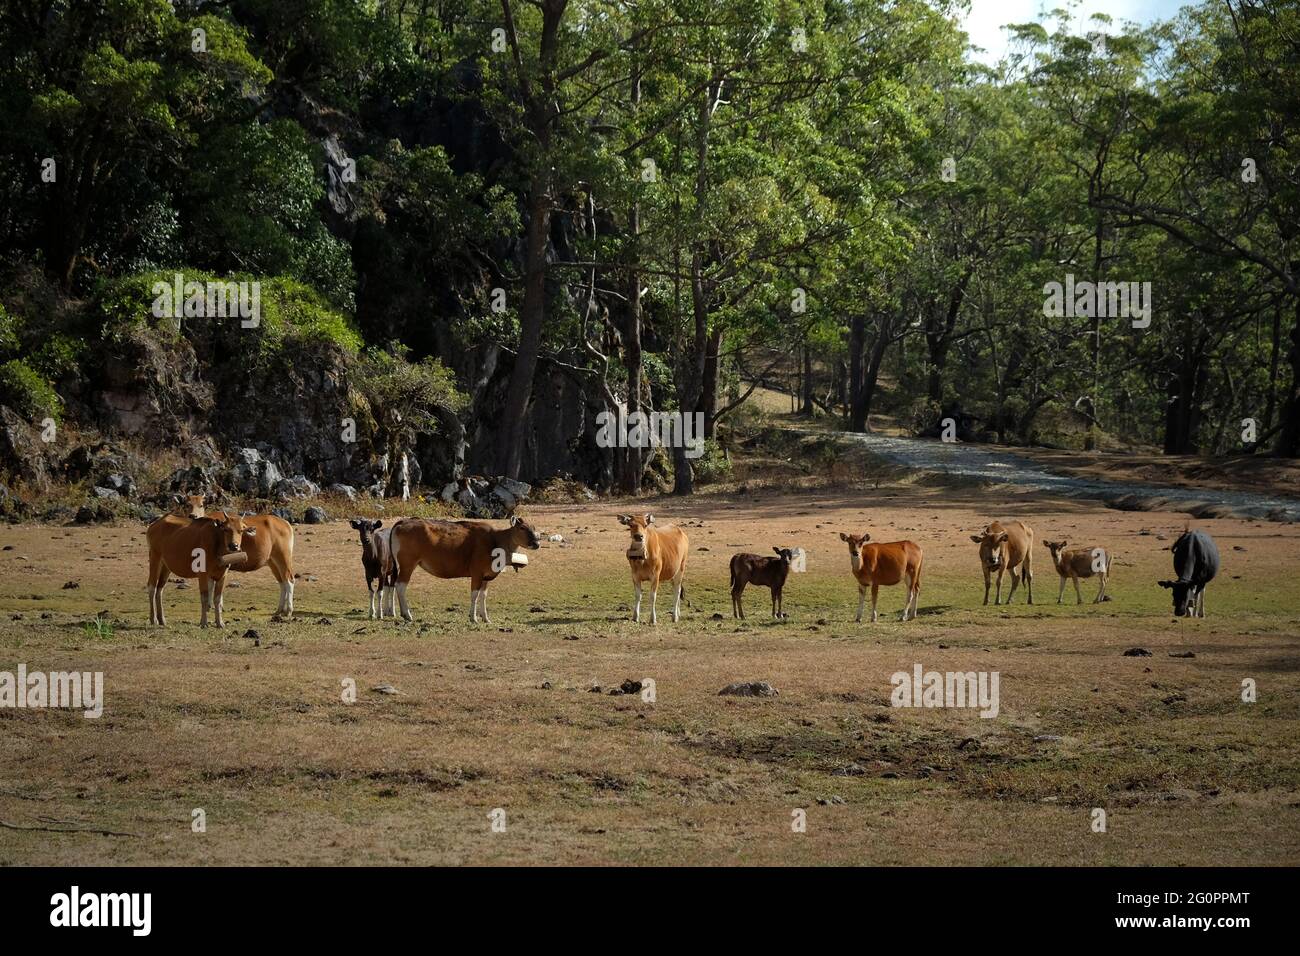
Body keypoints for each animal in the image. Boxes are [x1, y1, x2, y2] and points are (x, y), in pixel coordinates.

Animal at [390, 515, 541, 623]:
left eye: (533, 528)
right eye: (522, 528)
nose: (536, 543)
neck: (495, 540)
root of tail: (402, 522)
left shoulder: (486, 577)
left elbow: (483, 596)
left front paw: (486, 618)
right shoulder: (477, 574)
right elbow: (474, 594)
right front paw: (473, 618)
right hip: (408, 564)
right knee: (401, 586)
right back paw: (407, 614)